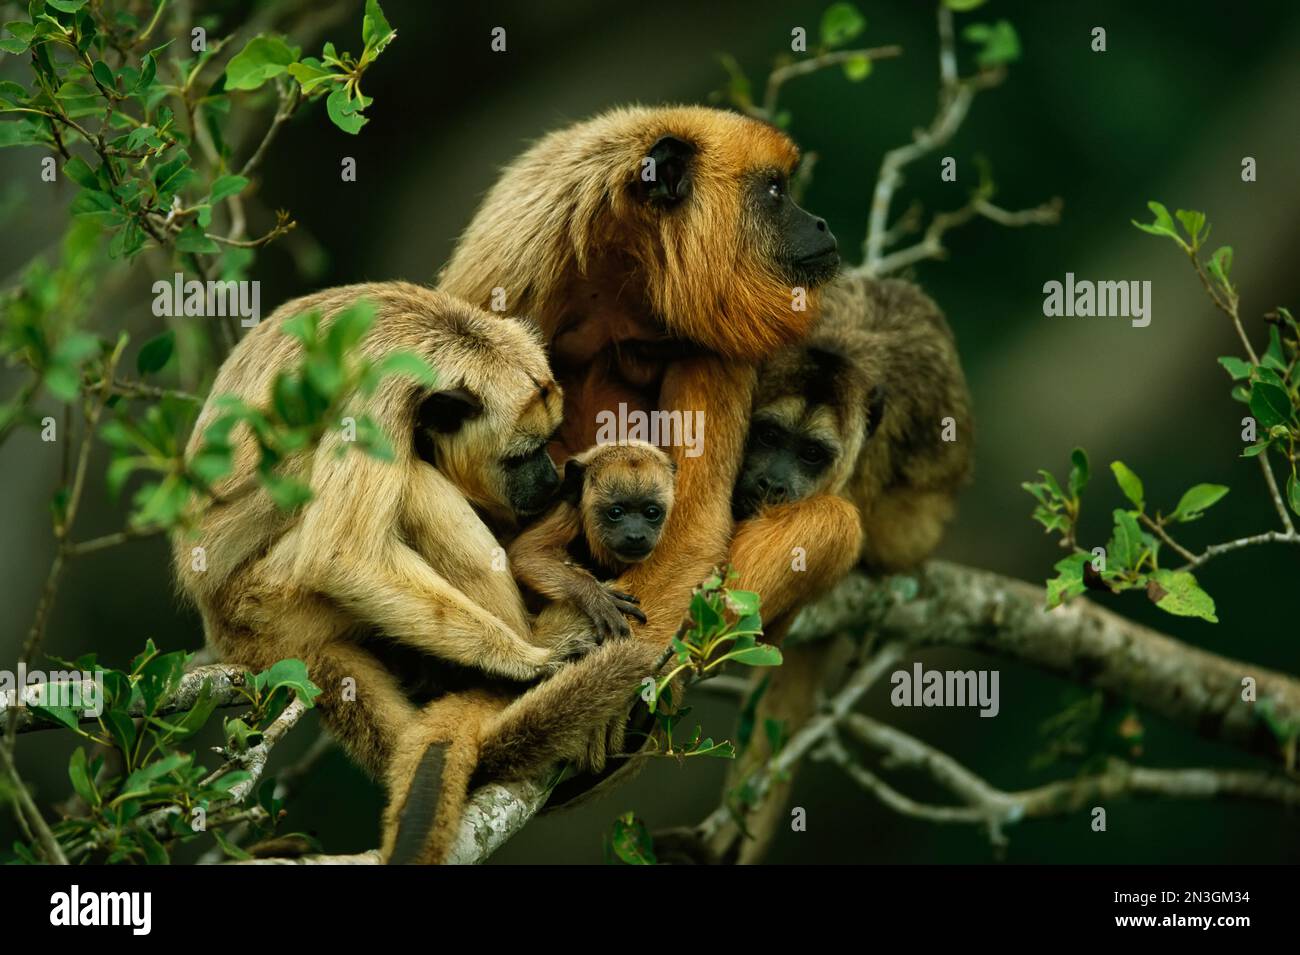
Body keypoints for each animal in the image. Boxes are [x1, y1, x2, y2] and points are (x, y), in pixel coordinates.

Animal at [172, 281, 594, 789]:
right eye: (520, 457)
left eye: (548, 444)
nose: (550, 479)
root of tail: (218, 622)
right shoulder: (374, 400)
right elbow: (340, 556)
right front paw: (521, 658)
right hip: (264, 600)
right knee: (415, 486)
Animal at [510, 440, 676, 643]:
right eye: (615, 513)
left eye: (652, 512)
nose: (636, 536)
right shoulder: (568, 510)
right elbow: (526, 554)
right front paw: (596, 597)